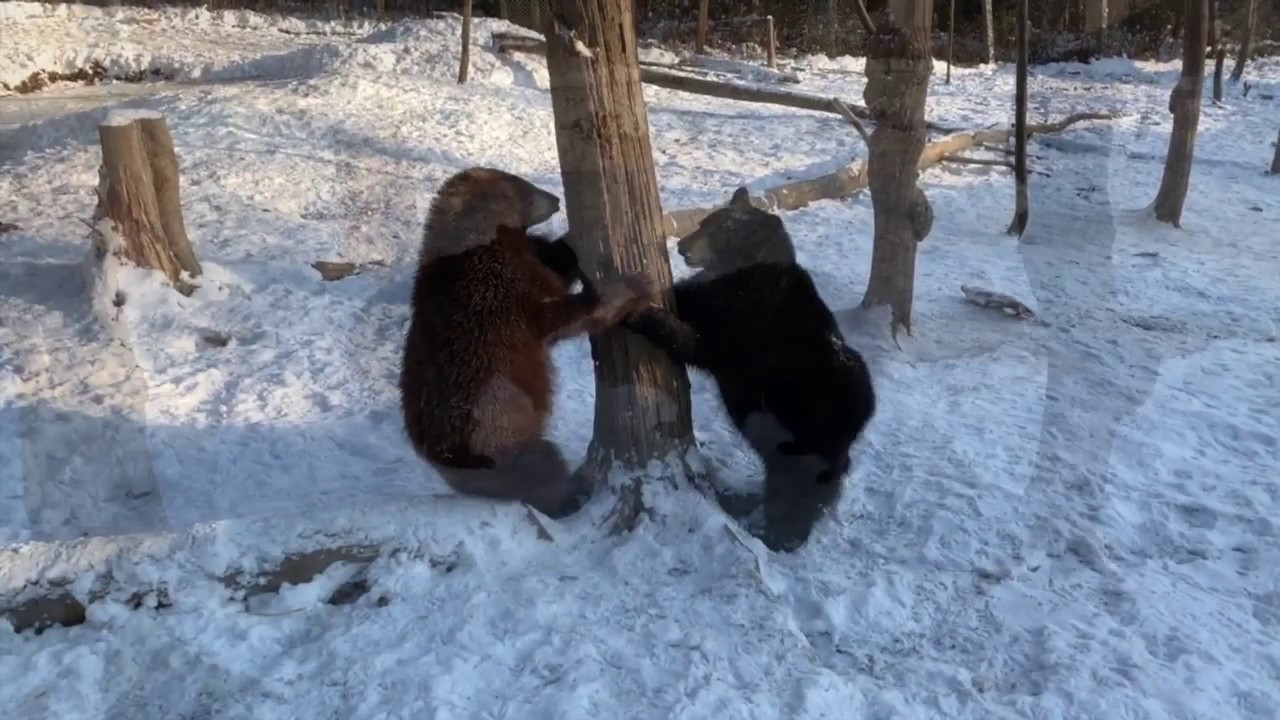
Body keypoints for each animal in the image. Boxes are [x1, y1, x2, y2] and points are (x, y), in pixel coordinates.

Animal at [400, 216, 653, 519]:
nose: (565, 248)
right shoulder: (512, 308)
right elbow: (571, 317)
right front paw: (635, 284)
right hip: (502, 446)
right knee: (542, 465)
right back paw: (569, 497)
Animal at [621, 186, 876, 552]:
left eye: (720, 229)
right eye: (704, 221)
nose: (682, 246)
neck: (745, 269)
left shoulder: (747, 316)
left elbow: (699, 343)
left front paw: (640, 312)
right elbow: (688, 294)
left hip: (807, 435)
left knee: (798, 491)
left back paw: (779, 534)